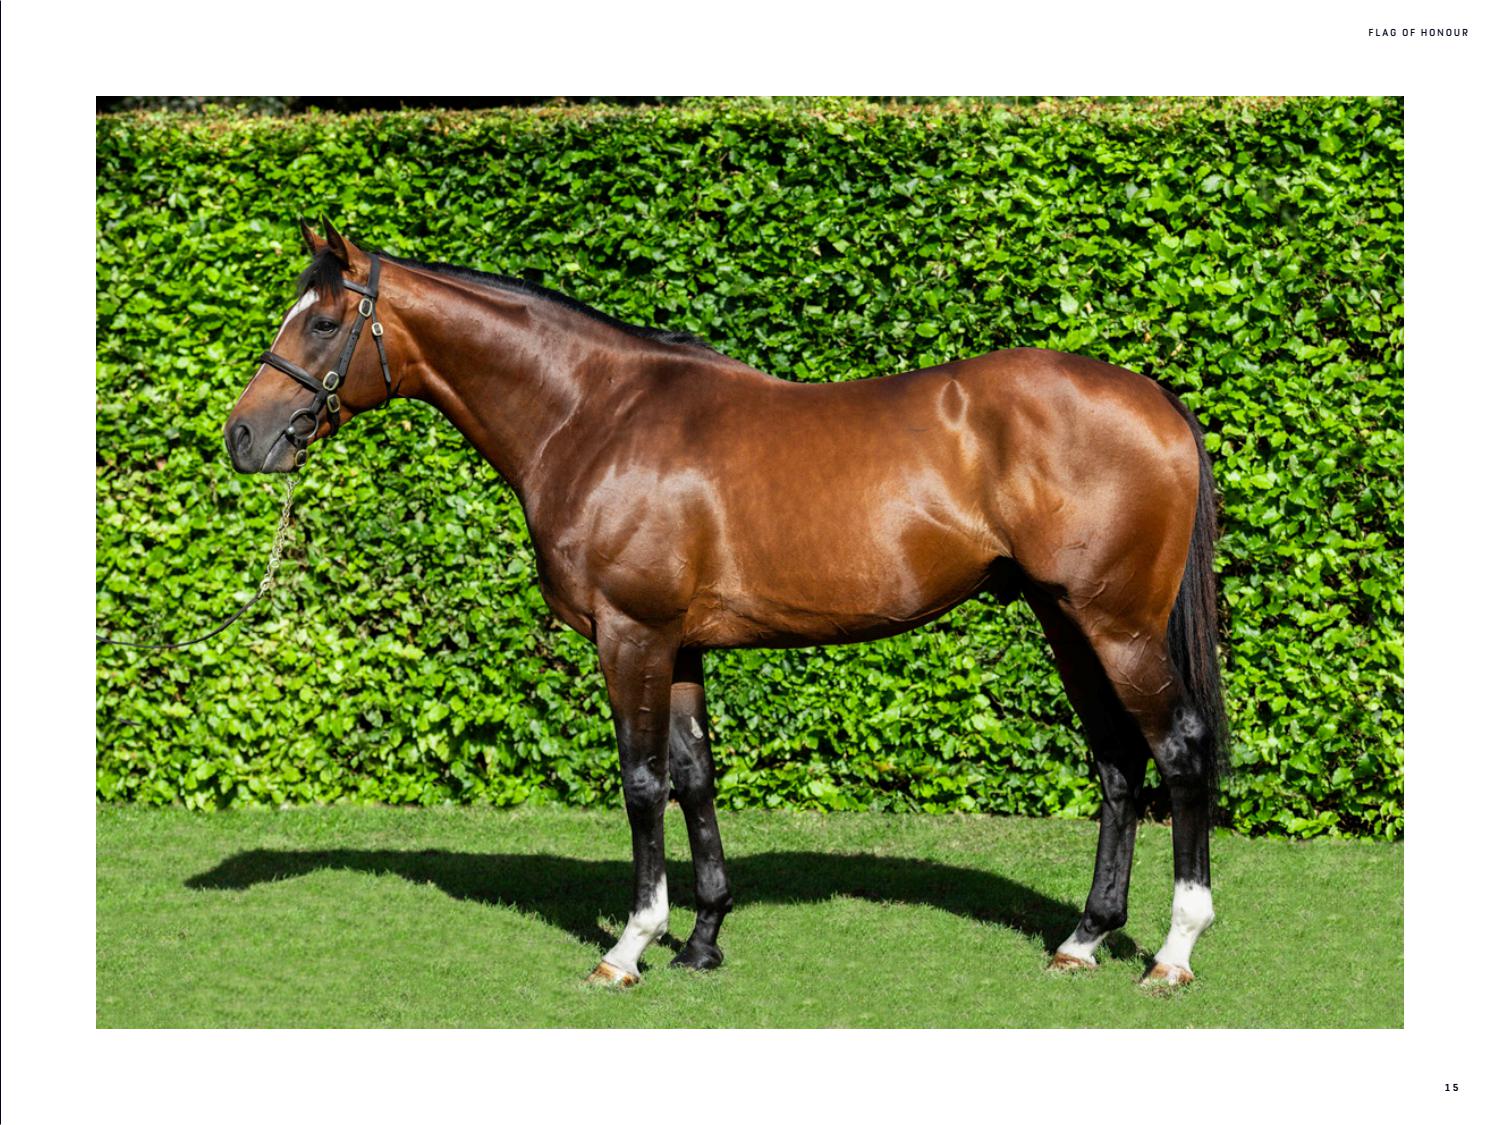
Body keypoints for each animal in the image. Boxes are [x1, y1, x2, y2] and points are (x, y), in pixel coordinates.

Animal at [225, 220, 1228, 989]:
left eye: (323, 321)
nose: (242, 437)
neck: (595, 415)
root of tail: (1155, 399)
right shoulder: (679, 646)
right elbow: (695, 776)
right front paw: (702, 939)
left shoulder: (629, 636)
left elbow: (640, 781)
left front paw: (628, 947)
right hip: (1065, 620)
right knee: (1116, 764)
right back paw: (1084, 939)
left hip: (1116, 625)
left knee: (1177, 749)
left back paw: (1172, 951)